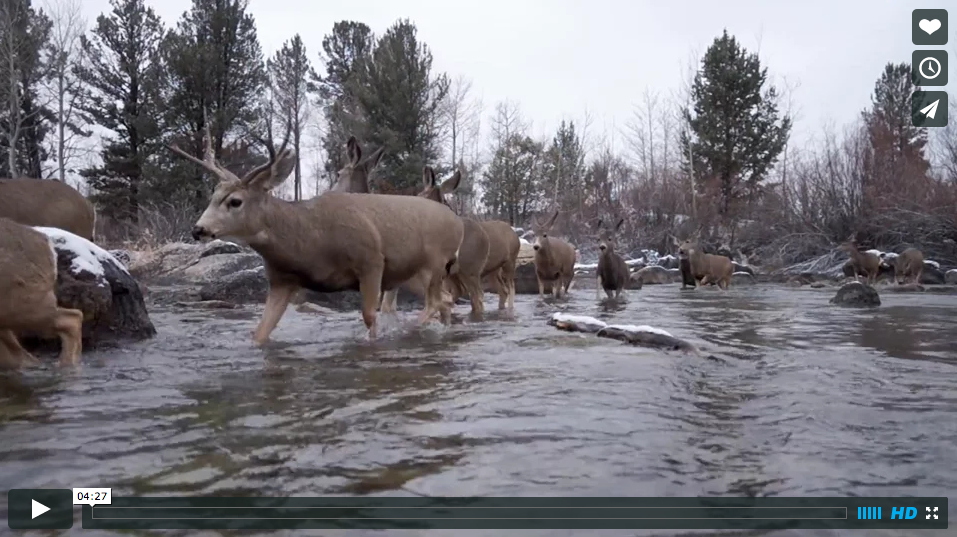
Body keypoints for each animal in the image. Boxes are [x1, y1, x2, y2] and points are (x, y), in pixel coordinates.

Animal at [169, 118, 464, 344]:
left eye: (235, 201)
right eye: (213, 195)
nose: (198, 230)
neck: (308, 236)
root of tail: (456, 221)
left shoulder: (370, 260)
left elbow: (370, 318)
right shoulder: (281, 279)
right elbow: (260, 333)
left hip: (432, 264)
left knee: (438, 301)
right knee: (444, 302)